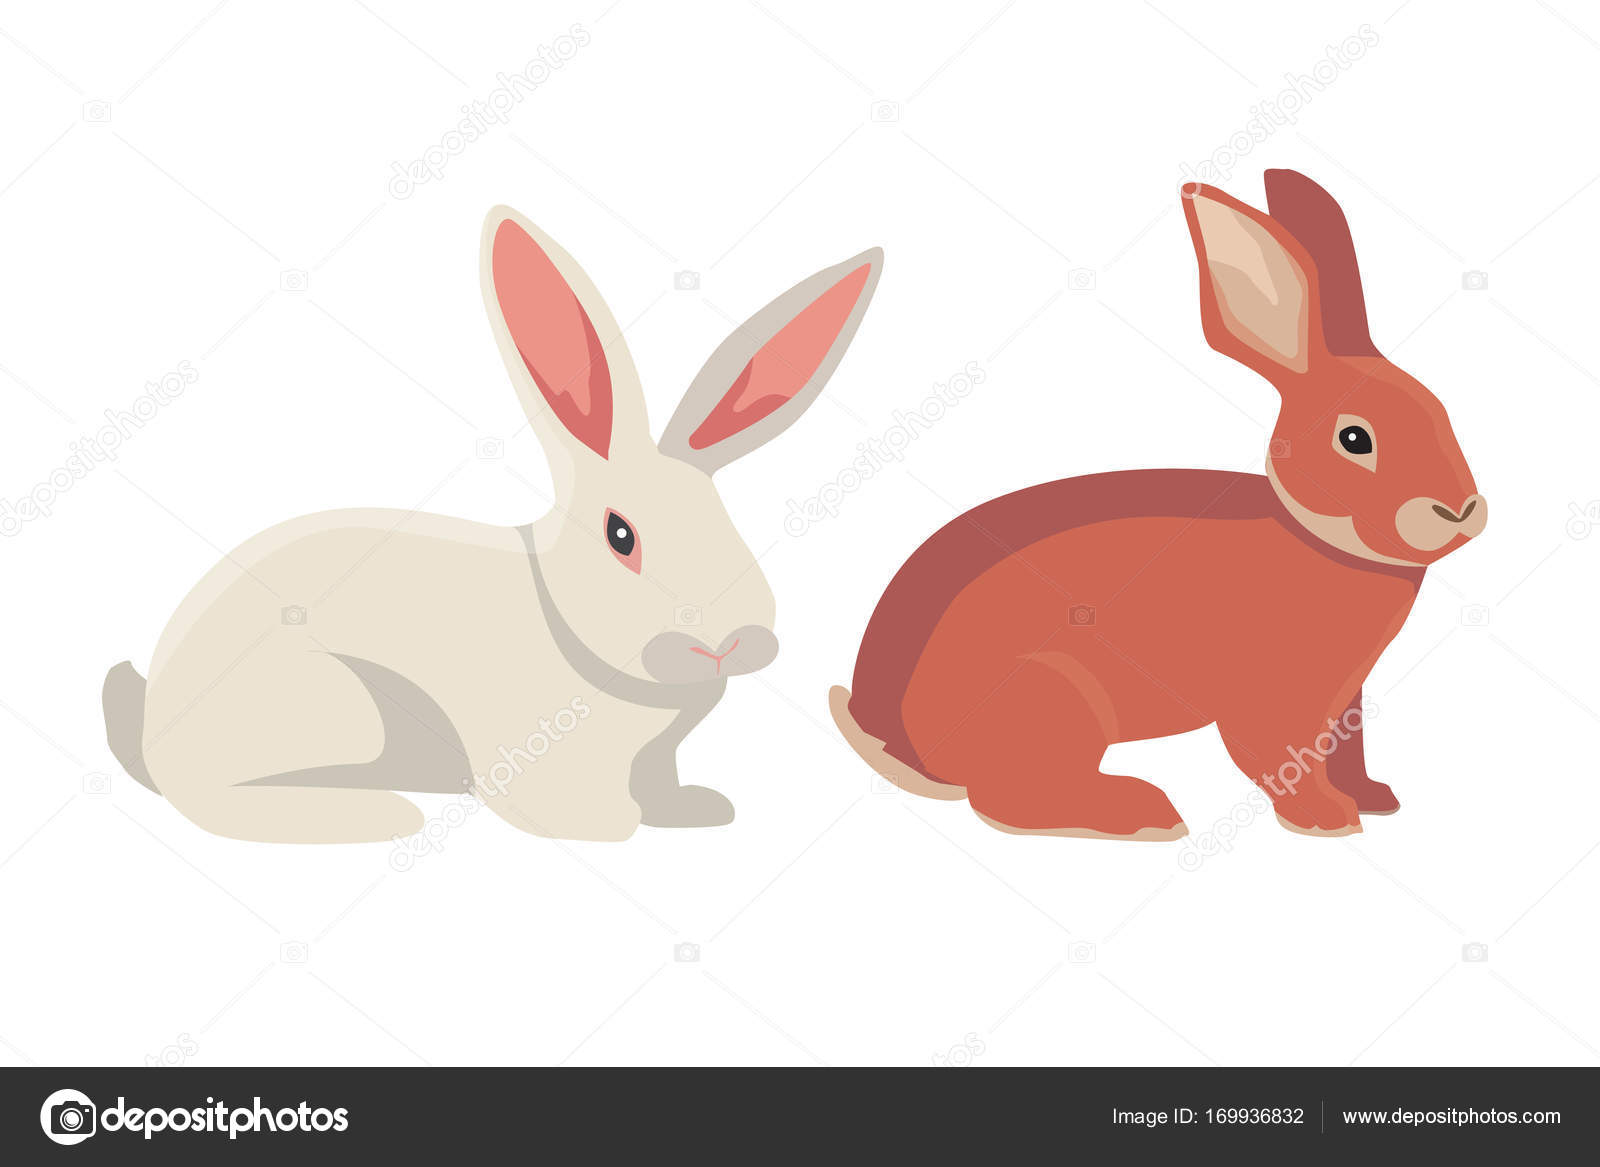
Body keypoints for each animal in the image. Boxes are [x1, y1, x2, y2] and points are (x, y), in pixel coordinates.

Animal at [102, 206, 882, 842]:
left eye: (729, 521)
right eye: (620, 536)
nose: (726, 644)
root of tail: (155, 728)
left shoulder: (656, 755)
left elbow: (661, 785)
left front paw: (699, 810)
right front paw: (608, 826)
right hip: (336, 707)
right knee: (212, 799)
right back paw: (382, 815)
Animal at [831, 170, 1484, 840]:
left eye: (1441, 411)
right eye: (1355, 439)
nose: (1460, 513)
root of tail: (896, 741)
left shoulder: (1343, 700)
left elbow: (1344, 749)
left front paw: (1374, 798)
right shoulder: (1275, 695)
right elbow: (1277, 754)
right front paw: (1328, 820)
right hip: (1056, 696)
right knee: (1007, 799)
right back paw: (1144, 813)